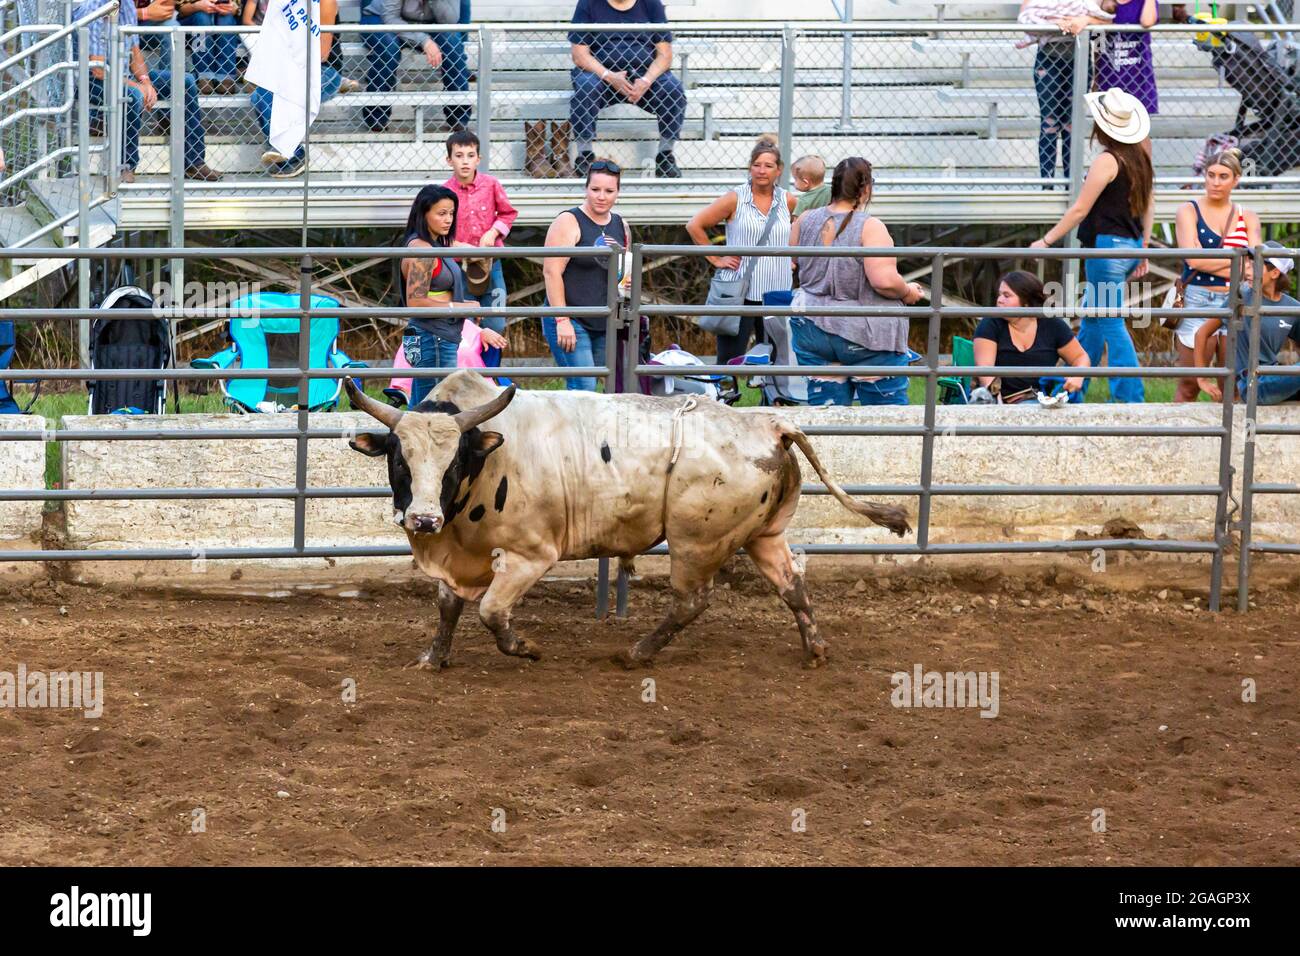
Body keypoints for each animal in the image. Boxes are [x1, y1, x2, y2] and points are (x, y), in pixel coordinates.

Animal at [345, 372, 909, 669]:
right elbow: (447, 605)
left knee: (691, 601)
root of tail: (769, 424)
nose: (422, 519)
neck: (493, 458)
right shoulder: (464, 549)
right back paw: (814, 649)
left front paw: (524, 647)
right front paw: (433, 658)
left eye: (455, 459)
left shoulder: (531, 555)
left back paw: (638, 652)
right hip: (764, 535)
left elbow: (491, 611)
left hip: (695, 541)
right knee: (792, 584)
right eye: (399, 459)